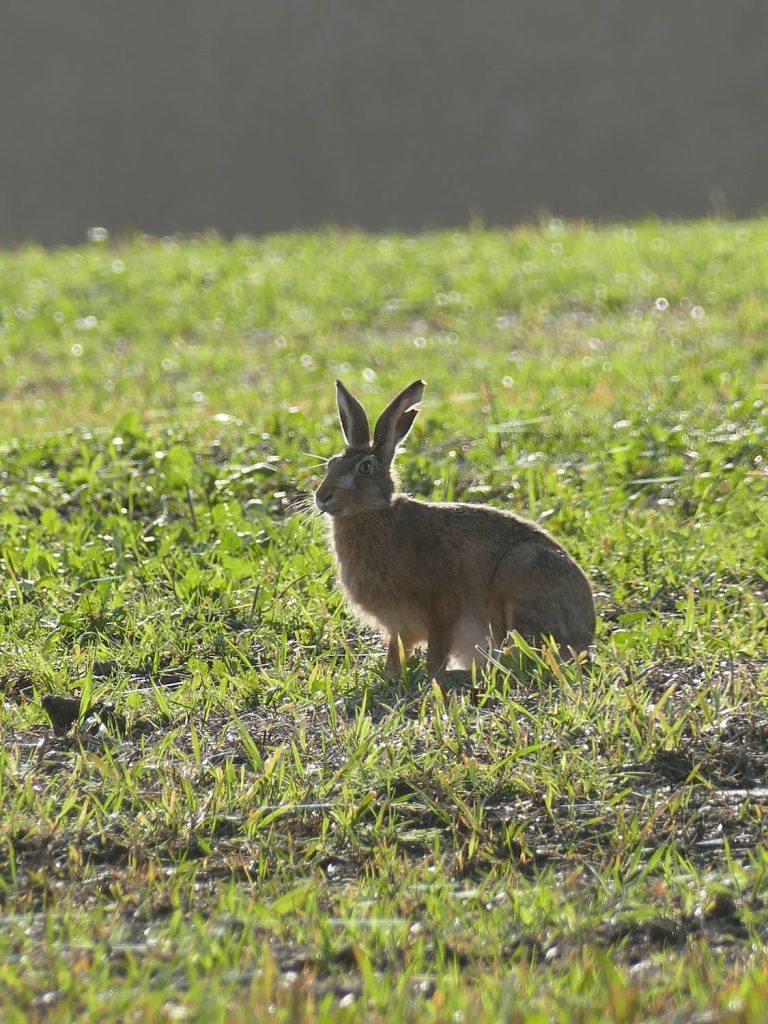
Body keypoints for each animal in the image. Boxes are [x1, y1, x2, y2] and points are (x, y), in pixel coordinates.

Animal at [315, 379, 596, 676]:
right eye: (331, 464)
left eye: (365, 468)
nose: (322, 497)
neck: (375, 514)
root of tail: (585, 639)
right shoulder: (400, 626)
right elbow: (397, 650)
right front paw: (392, 674)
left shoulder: (444, 602)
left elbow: (437, 648)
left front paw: (432, 676)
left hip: (521, 569)